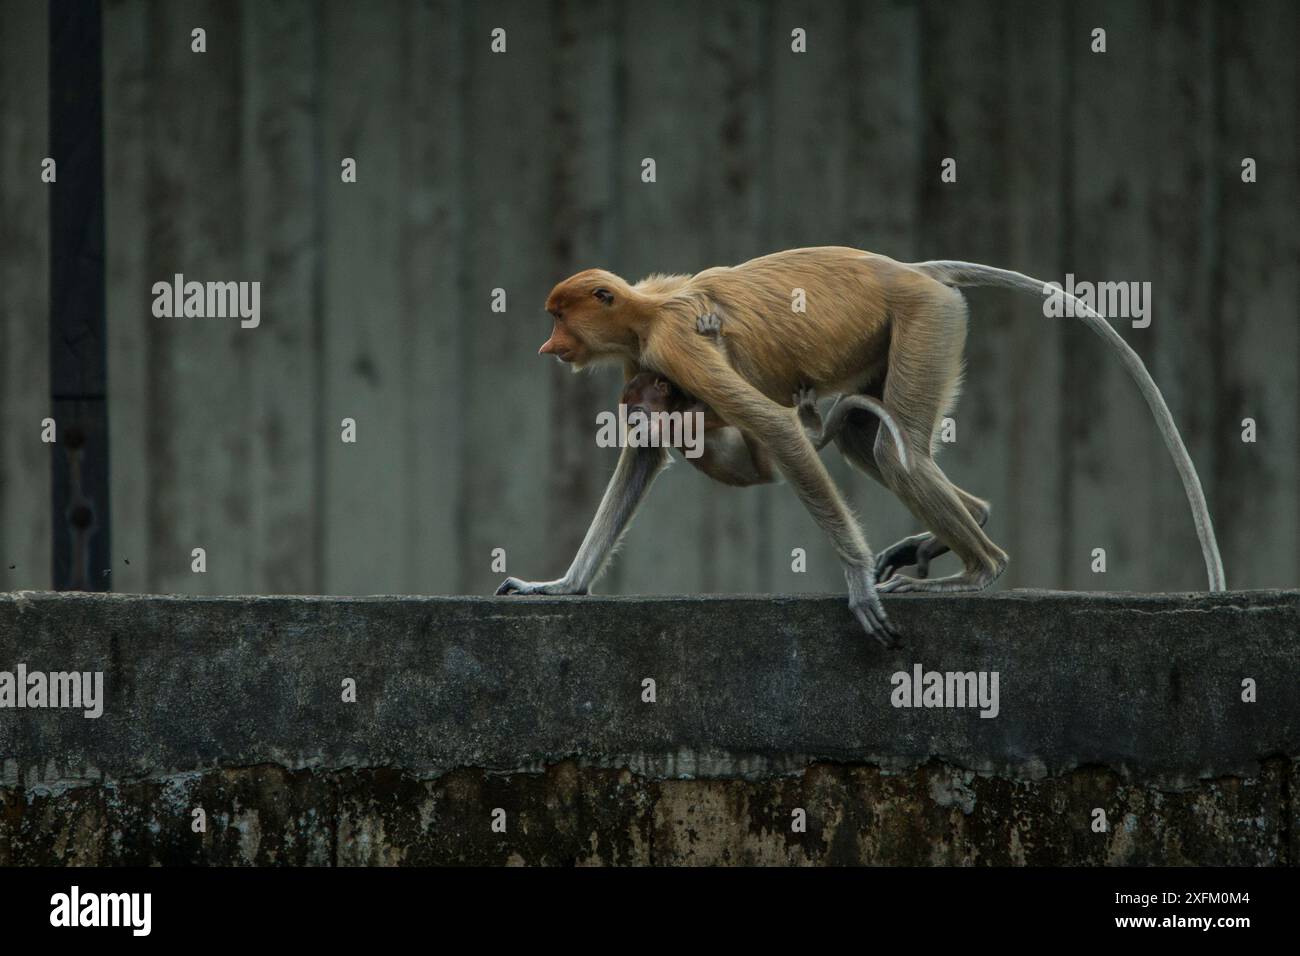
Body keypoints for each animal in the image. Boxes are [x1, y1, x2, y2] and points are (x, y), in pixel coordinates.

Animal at [496, 247, 1225, 647]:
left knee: (893, 452)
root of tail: (914, 269)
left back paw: (979, 569)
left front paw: (856, 583)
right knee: (863, 436)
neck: (643, 311)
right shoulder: (639, 365)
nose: (549, 346)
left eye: (560, 318)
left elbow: (774, 426)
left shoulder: (673, 347)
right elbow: (644, 456)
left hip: (928, 318)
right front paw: (560, 586)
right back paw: (969, 523)